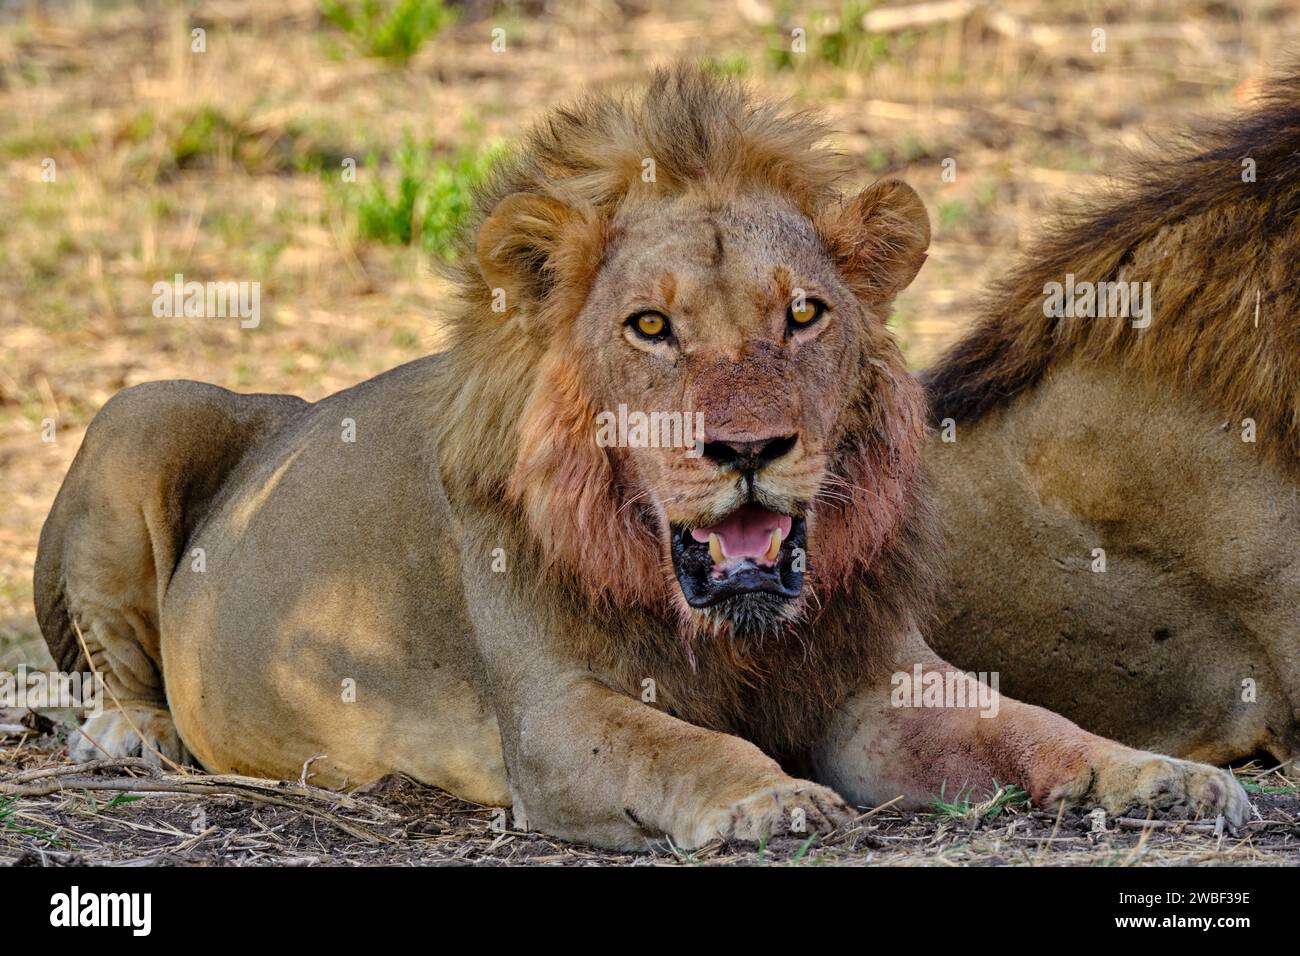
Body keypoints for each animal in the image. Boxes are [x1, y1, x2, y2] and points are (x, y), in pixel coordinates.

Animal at [34, 67, 1246, 849]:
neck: (728, 628)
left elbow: (1030, 724)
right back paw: (125, 736)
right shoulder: (554, 721)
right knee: (114, 670)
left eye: (803, 314)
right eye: (650, 328)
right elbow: (677, 749)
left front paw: (1166, 778)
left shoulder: (871, 680)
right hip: (144, 405)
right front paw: (770, 800)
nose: (749, 446)